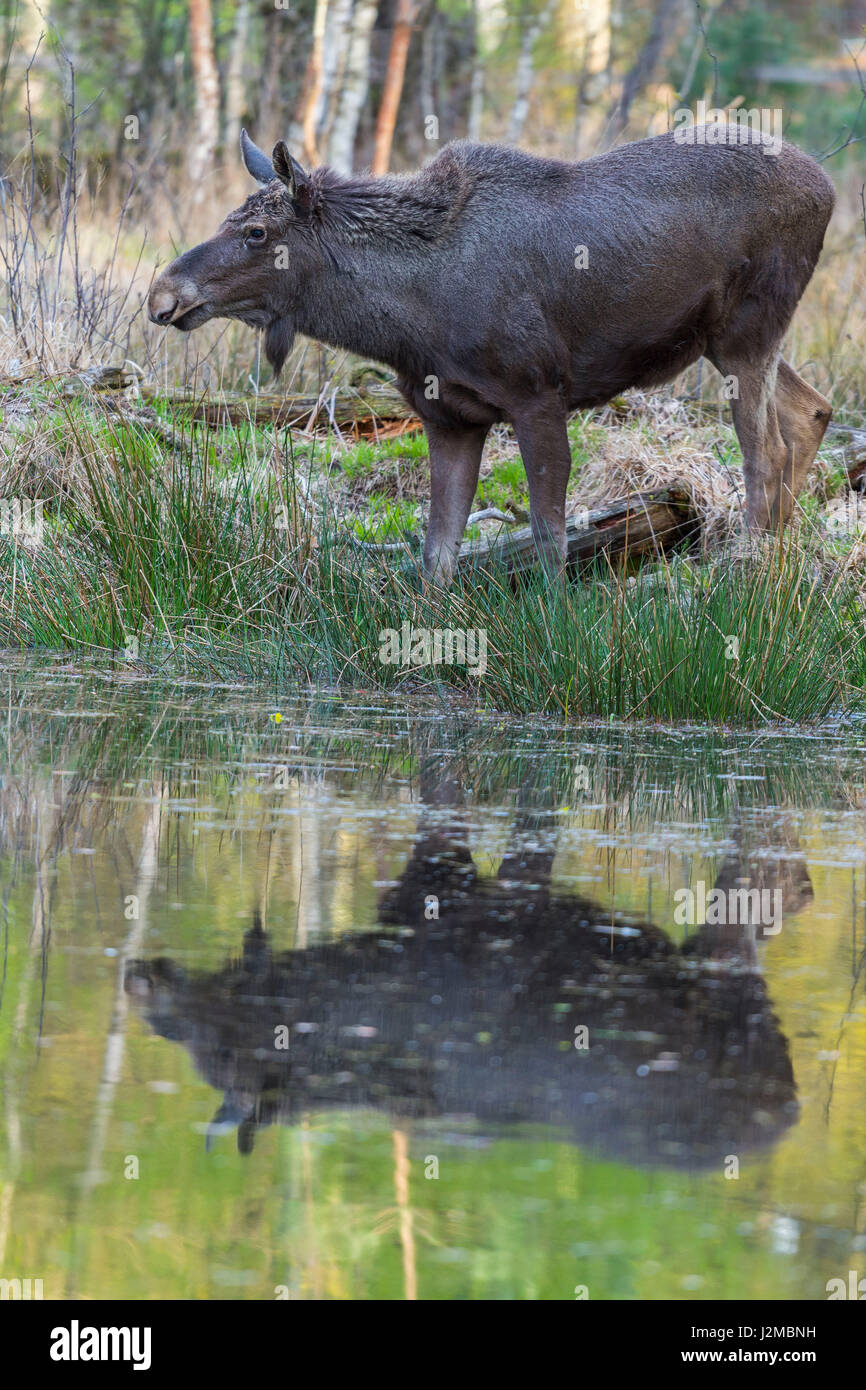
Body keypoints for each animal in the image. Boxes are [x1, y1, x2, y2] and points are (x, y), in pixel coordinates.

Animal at [149, 126, 834, 584]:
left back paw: (743, 576)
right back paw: (777, 567)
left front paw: (556, 623)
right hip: (726, 340)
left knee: (766, 451)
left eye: (256, 232)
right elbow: (437, 551)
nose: (162, 294)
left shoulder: (539, 393)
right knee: (812, 411)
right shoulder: (450, 416)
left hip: (748, 329)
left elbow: (550, 537)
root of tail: (828, 188)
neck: (408, 321)